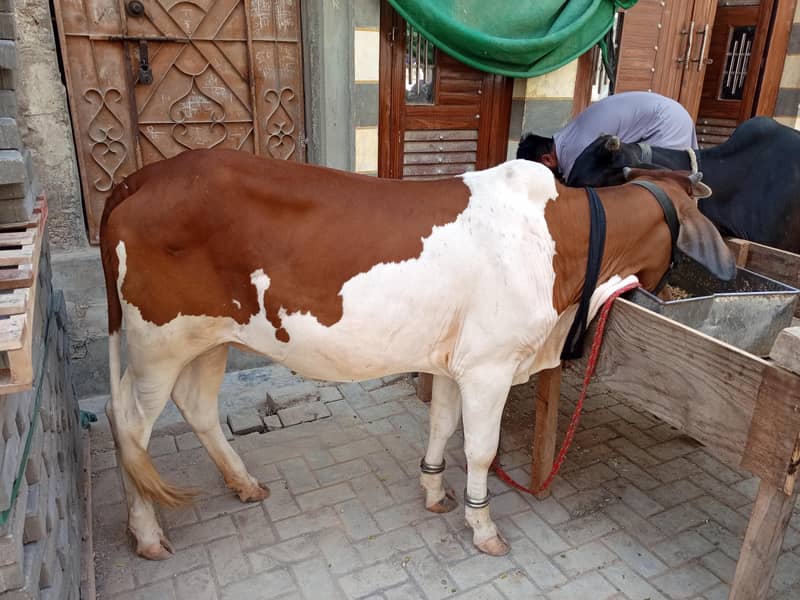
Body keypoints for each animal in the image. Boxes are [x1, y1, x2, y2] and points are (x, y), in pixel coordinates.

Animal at [99, 149, 735, 561]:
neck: (561, 242)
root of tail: (145, 174)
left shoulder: (457, 361)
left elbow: (441, 426)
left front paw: (434, 491)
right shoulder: (491, 367)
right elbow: (480, 449)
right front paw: (482, 524)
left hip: (210, 338)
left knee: (197, 407)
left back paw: (244, 484)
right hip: (156, 340)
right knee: (127, 421)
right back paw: (147, 533)